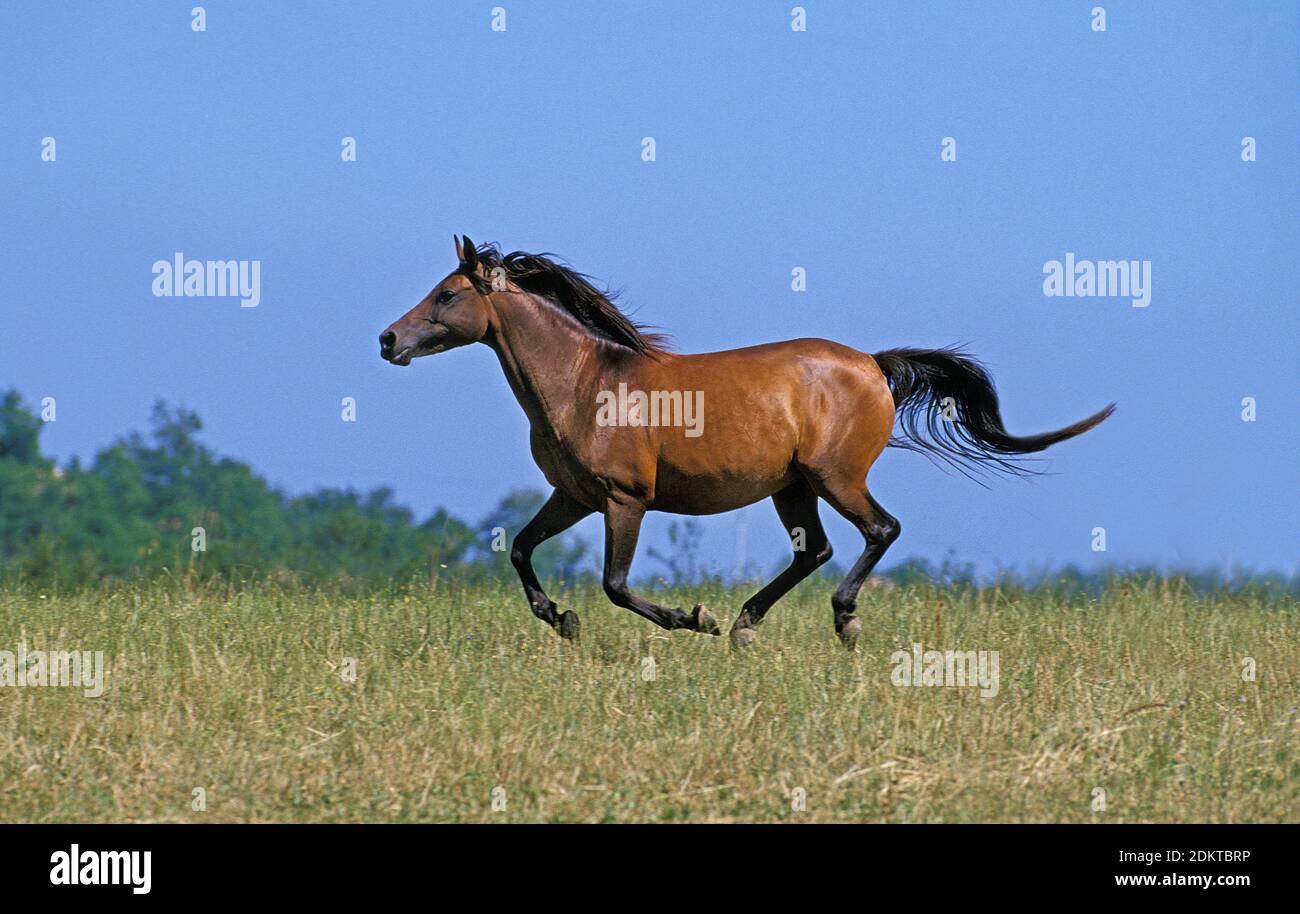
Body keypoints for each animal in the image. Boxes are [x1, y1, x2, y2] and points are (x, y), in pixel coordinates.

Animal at [379, 236, 1114, 648]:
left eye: (447, 294)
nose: (387, 339)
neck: (587, 382)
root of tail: (874, 365)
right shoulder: (573, 495)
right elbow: (522, 551)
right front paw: (561, 619)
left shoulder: (624, 499)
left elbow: (615, 584)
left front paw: (692, 618)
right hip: (792, 488)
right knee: (816, 551)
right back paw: (746, 625)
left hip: (835, 477)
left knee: (880, 531)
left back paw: (837, 621)